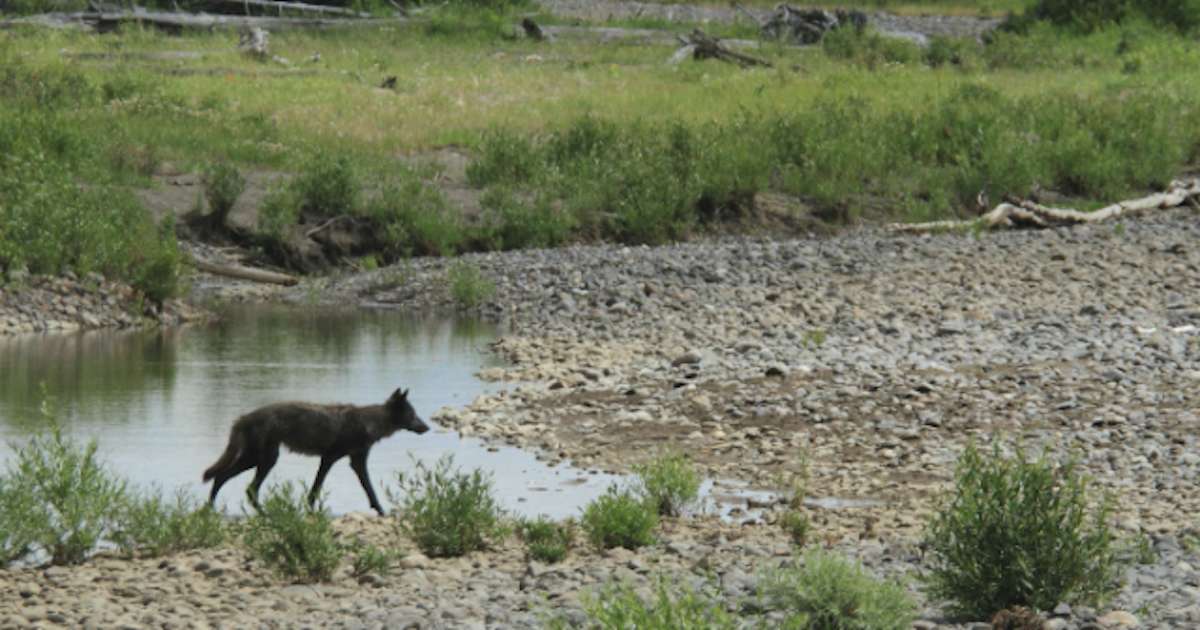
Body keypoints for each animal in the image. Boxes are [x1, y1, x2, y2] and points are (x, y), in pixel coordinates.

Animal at [202, 388, 429, 515]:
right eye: (413, 414)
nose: (427, 427)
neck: (371, 421)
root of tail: (244, 417)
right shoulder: (330, 459)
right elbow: (316, 489)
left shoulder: (355, 462)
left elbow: (369, 490)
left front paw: (380, 511)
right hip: (262, 460)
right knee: (242, 485)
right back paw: (264, 514)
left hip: (258, 460)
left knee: (224, 478)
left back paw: (211, 509)